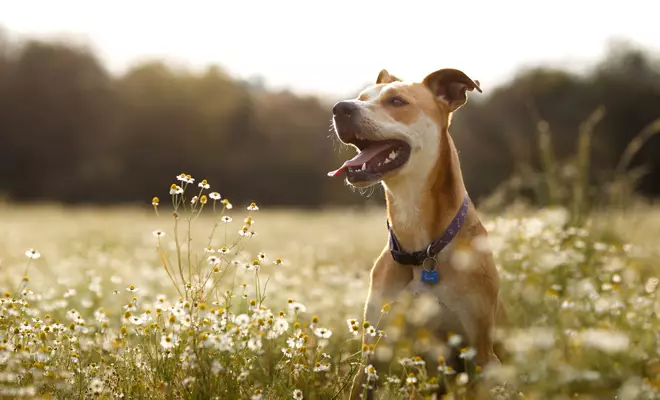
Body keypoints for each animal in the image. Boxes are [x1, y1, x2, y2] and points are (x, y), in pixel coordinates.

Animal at [328, 67, 508, 398]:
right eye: (361, 97)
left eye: (397, 101)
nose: (340, 108)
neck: (422, 249)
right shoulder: (373, 353)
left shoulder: (479, 353)